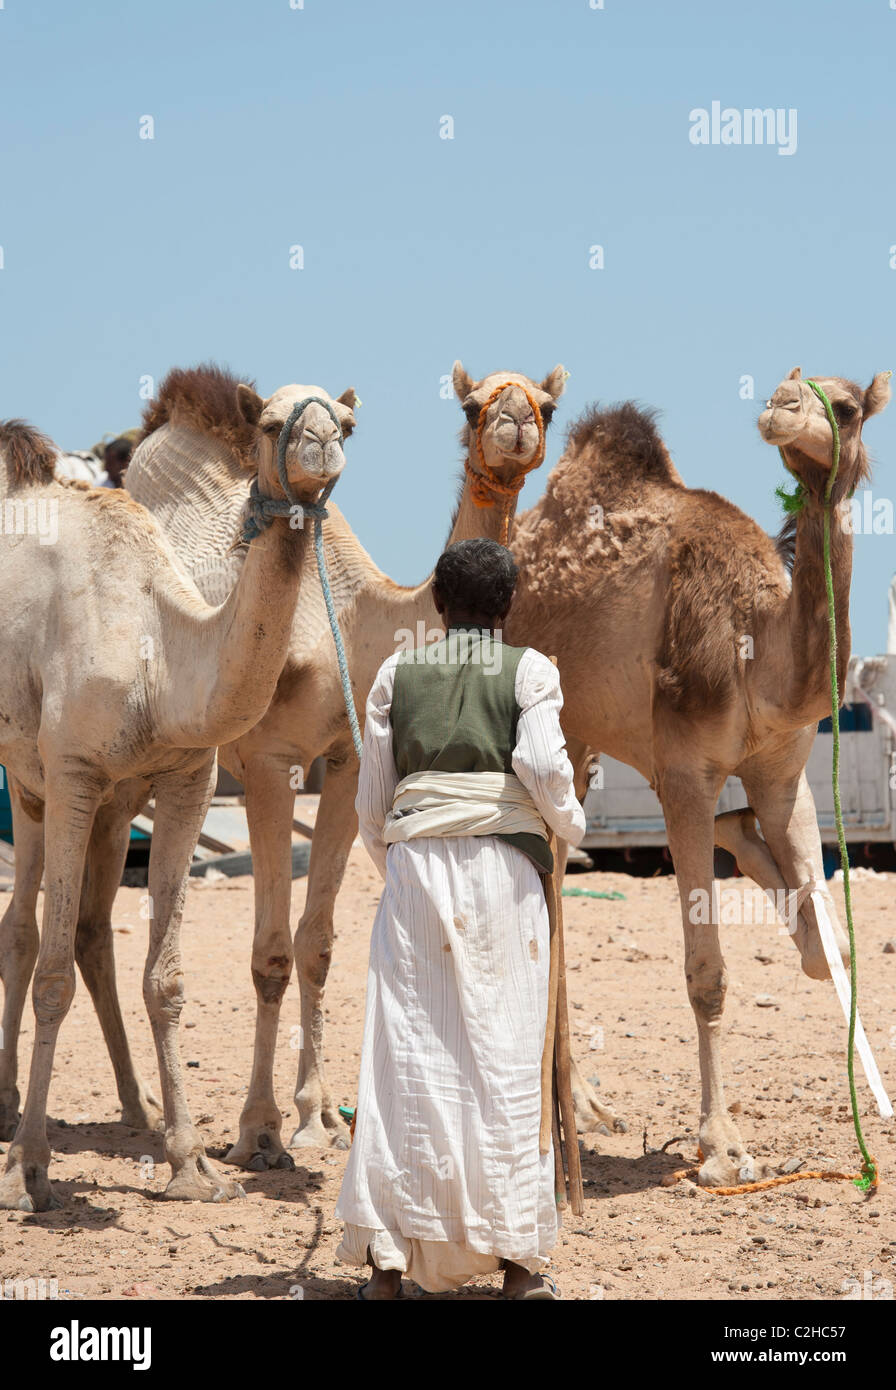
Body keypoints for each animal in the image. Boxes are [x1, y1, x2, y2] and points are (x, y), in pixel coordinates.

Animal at [0, 368, 356, 1210]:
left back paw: (136, 1109)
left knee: (72, 930)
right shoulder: (72, 773)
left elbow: (165, 981)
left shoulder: (187, 778)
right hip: (30, 779)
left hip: (68, 794)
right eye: (268, 425)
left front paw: (191, 1162)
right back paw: (8, 1117)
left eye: (349, 422)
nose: (322, 445)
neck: (157, 656)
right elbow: (53, 977)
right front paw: (29, 1172)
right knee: (25, 934)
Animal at [123, 361, 566, 1166]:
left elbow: (318, 944)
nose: (513, 421)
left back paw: (137, 1111)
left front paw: (318, 1116)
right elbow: (269, 953)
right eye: (470, 404)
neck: (354, 620)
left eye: (548, 406)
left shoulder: (347, 762)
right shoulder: (269, 762)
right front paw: (259, 1129)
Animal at [506, 366, 891, 1185]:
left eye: (846, 407)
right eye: (793, 389)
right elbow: (707, 971)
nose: (782, 407)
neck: (756, 651)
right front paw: (722, 1145)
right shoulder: (684, 772)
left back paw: (583, 1107)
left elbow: (828, 948)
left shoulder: (785, 774)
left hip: (579, 746)